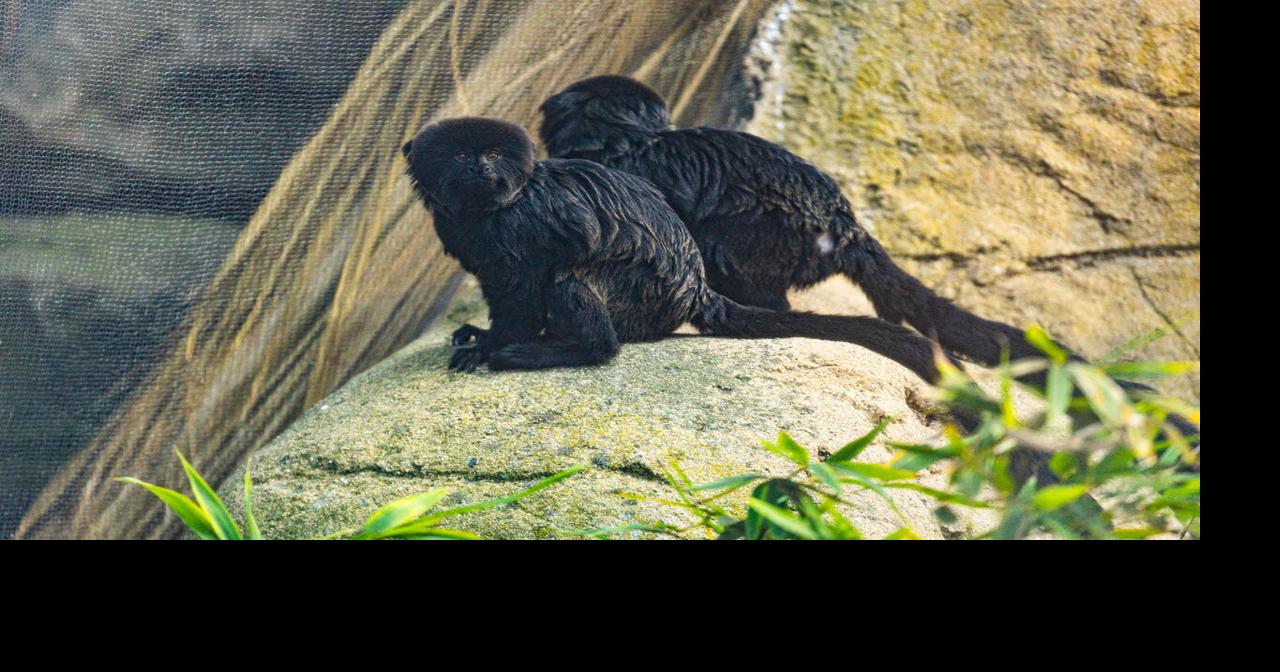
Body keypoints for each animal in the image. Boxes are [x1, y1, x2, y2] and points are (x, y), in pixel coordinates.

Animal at [401, 116, 963, 385]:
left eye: (493, 154)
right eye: (461, 156)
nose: (480, 167)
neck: (489, 208)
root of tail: (694, 292)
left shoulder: (523, 223)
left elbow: (529, 283)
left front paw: (492, 347)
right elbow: (501, 289)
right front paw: (482, 334)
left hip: (641, 299)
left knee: (573, 278)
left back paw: (573, 349)